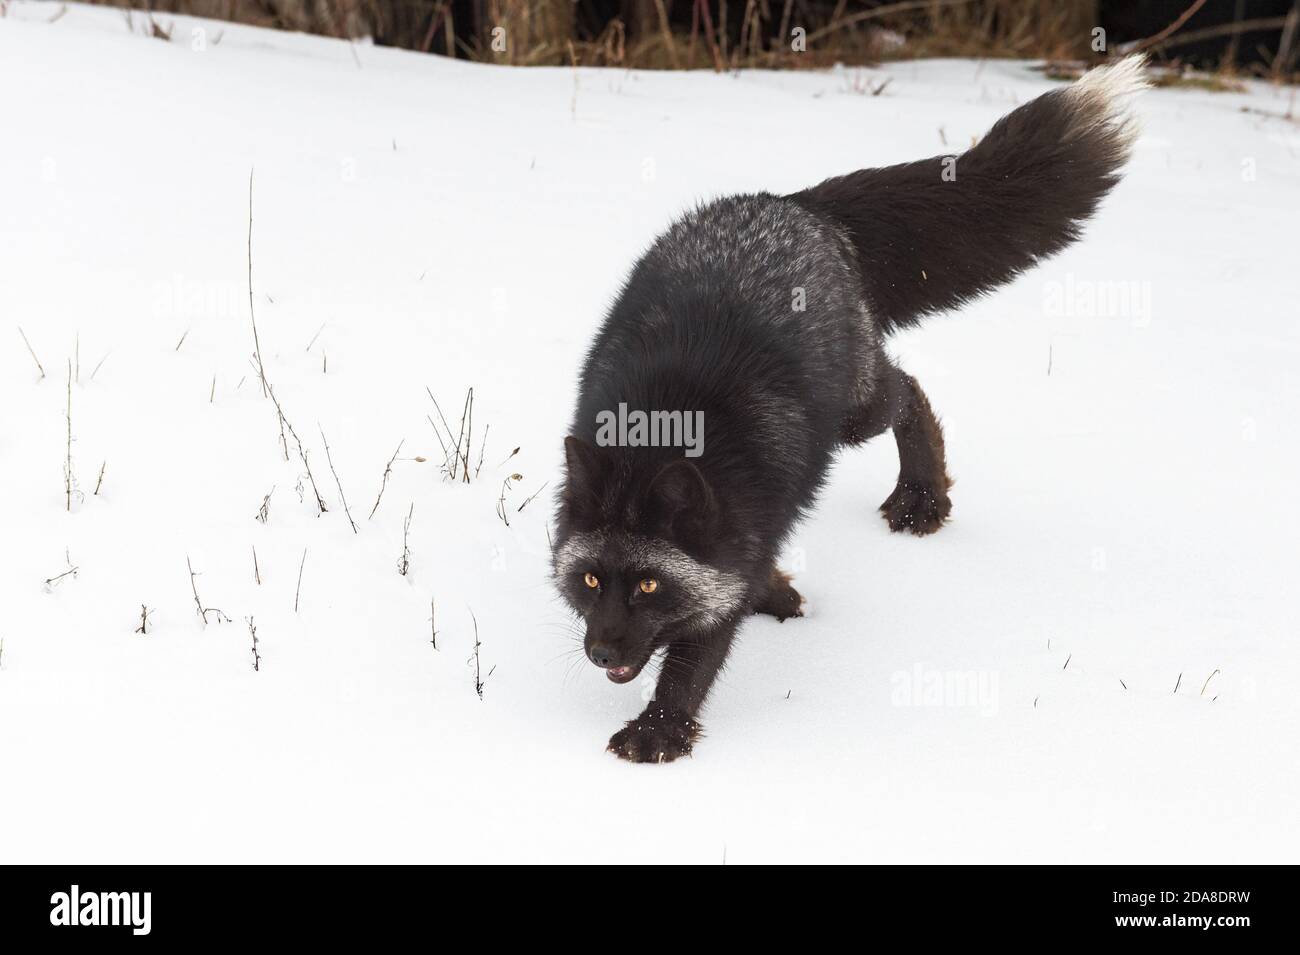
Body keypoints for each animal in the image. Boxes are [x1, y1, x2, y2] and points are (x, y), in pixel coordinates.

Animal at [554, 57, 1148, 762]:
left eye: (648, 586)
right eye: (591, 582)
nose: (600, 651)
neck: (663, 422)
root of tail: (793, 203)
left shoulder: (744, 531)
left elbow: (701, 651)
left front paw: (660, 730)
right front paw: (774, 595)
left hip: (855, 412)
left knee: (907, 388)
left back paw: (923, 495)